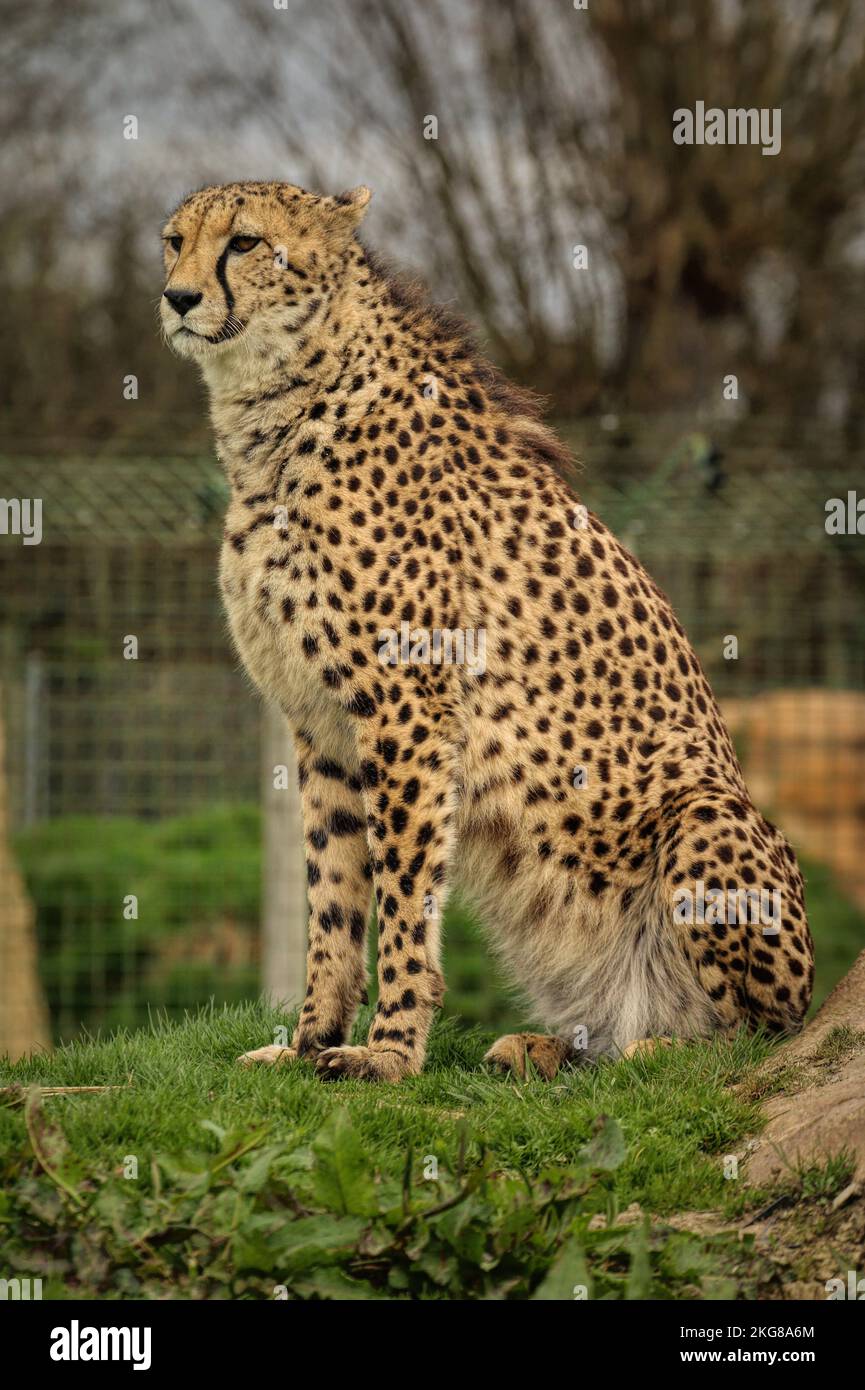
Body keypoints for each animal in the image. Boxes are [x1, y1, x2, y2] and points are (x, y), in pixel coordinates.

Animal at [160, 179, 814, 1083]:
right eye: (173, 241)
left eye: (245, 243)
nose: (178, 297)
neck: (275, 415)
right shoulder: (320, 724)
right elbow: (332, 897)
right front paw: (307, 1042)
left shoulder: (405, 707)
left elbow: (402, 892)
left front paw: (388, 1050)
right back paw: (548, 1046)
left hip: (704, 819)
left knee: (753, 1033)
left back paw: (662, 1049)